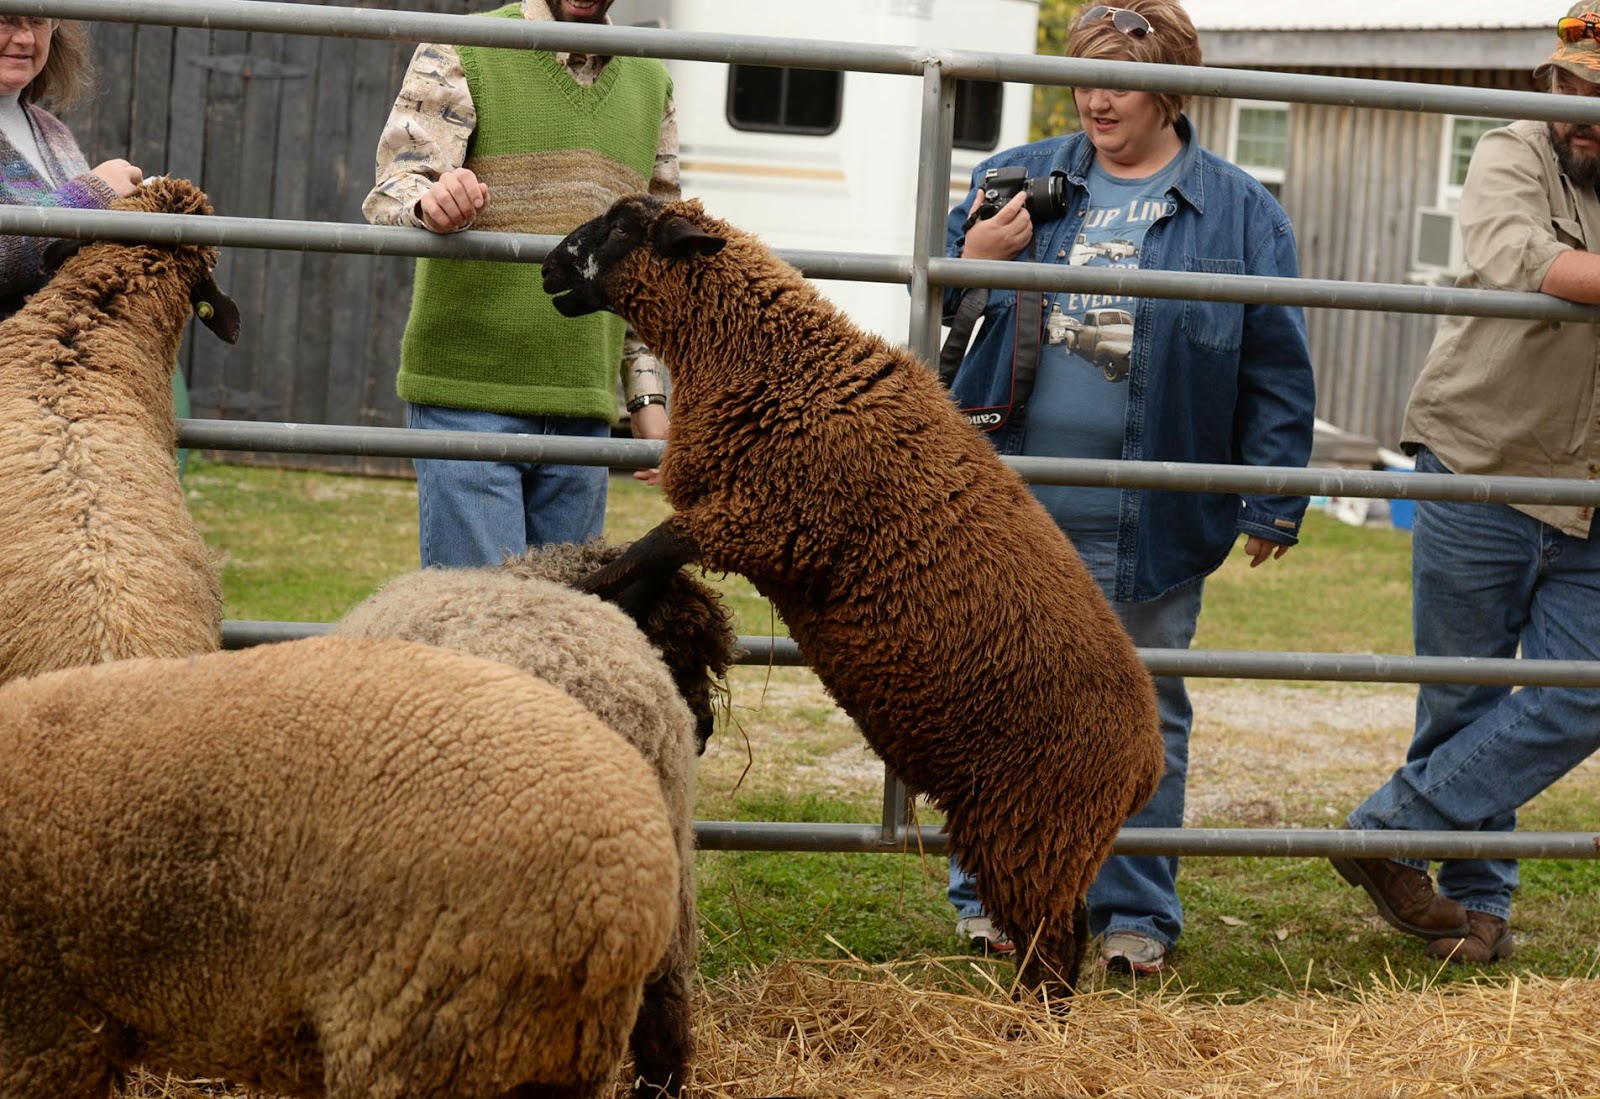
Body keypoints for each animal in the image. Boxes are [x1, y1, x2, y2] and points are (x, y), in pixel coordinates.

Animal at [540, 194, 1164, 997]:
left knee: (1053, 943)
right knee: (1065, 931)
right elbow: (646, 569)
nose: (548, 266)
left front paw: (571, 591)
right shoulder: (736, 515)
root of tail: (1145, 767)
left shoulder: (764, 519)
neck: (770, 357)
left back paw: (1027, 1023)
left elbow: (642, 553)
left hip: (1033, 827)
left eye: (623, 225)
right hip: (1043, 837)